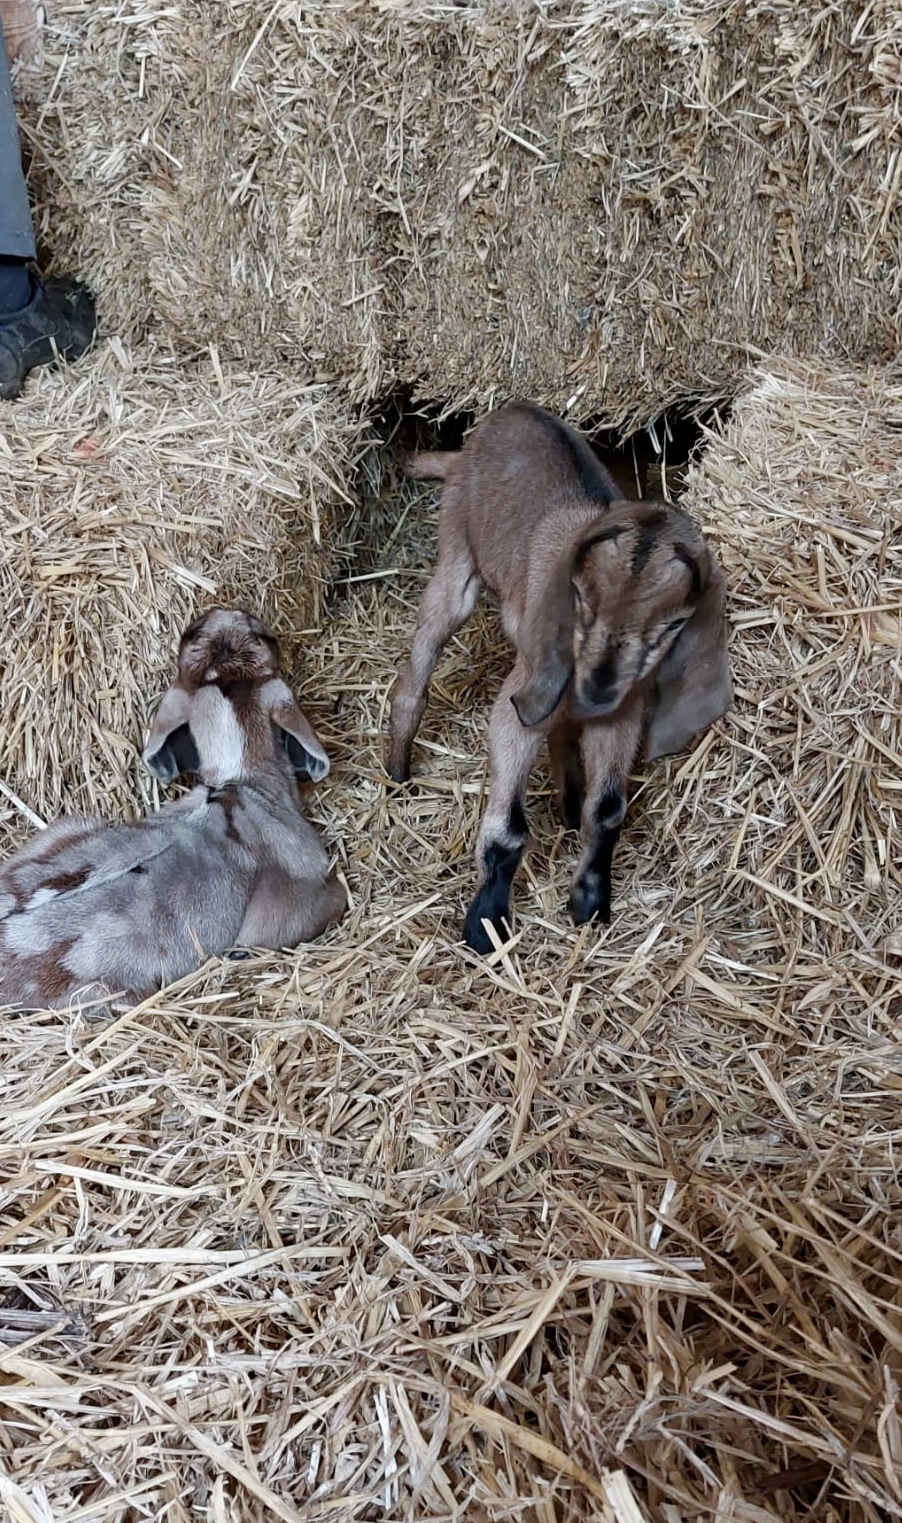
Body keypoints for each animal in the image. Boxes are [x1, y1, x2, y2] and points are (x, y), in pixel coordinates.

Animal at [387, 402, 730, 953]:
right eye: (582, 598)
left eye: (672, 626)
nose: (598, 691)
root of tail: (510, 411)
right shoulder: (520, 701)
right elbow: (508, 826)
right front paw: (486, 924)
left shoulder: (617, 715)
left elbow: (607, 808)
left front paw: (590, 898)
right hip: (457, 546)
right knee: (425, 652)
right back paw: (398, 767)